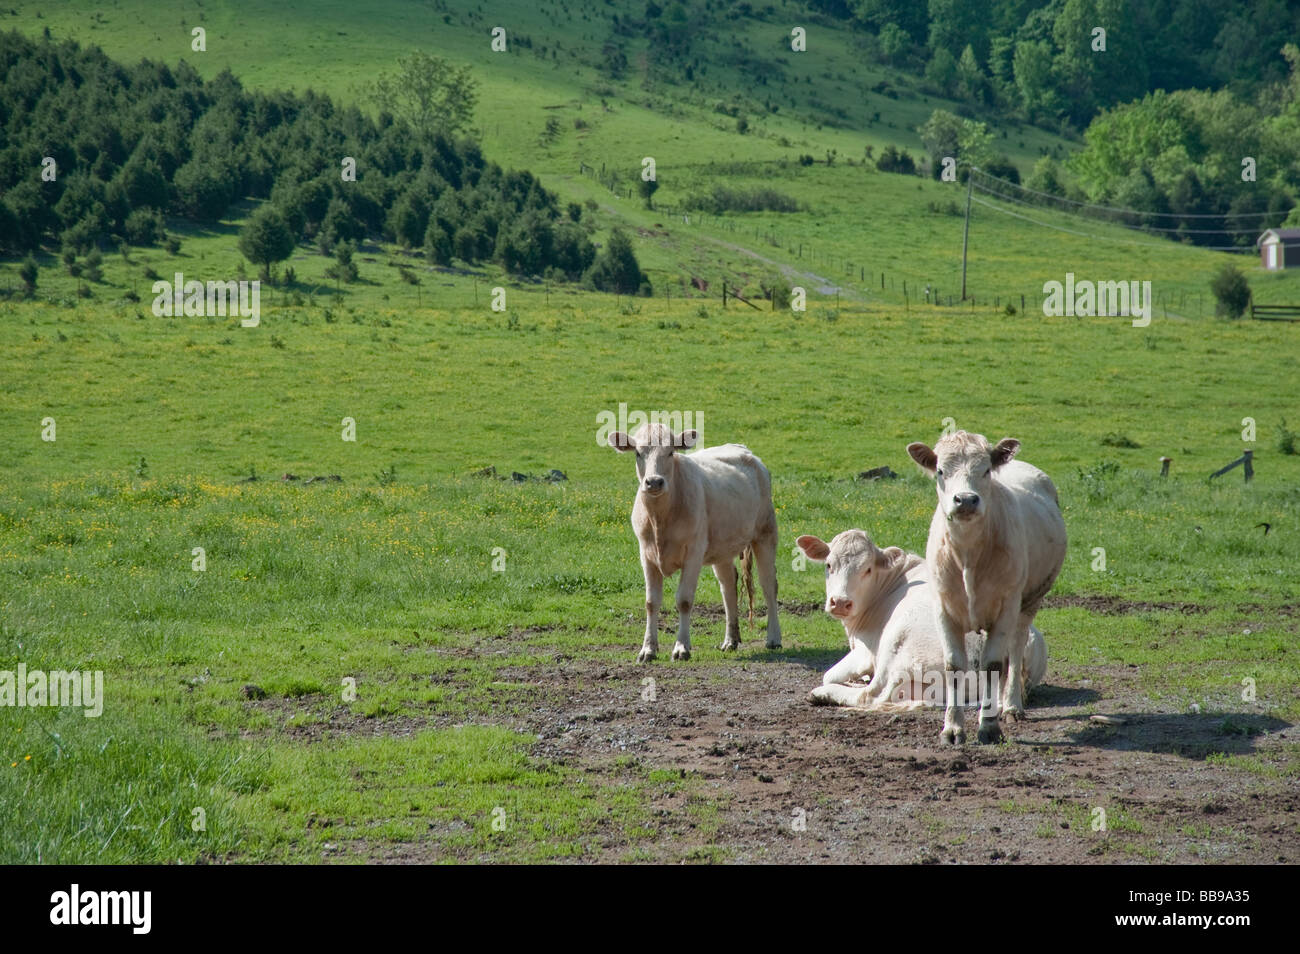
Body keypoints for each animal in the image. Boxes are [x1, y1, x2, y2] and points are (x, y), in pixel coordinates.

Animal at [608, 422, 781, 662]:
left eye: (671, 452)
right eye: (638, 453)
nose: (654, 482)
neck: (660, 519)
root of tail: (745, 450)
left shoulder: (694, 552)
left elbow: (684, 600)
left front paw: (681, 647)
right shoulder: (646, 554)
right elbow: (651, 602)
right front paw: (648, 649)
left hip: (765, 533)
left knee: (768, 584)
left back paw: (773, 638)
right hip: (723, 546)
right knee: (728, 585)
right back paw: (730, 640)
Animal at [796, 530, 1047, 709]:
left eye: (867, 569)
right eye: (829, 565)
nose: (839, 602)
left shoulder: (866, 650)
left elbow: (829, 674)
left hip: (897, 641)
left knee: (873, 694)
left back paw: (823, 694)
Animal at [906, 431, 1066, 744]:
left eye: (986, 470)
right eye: (940, 471)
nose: (966, 500)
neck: (969, 555)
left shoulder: (1007, 604)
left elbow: (992, 664)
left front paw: (989, 727)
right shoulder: (943, 607)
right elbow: (954, 665)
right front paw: (952, 728)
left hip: (1028, 602)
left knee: (1014, 649)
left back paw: (1010, 705)